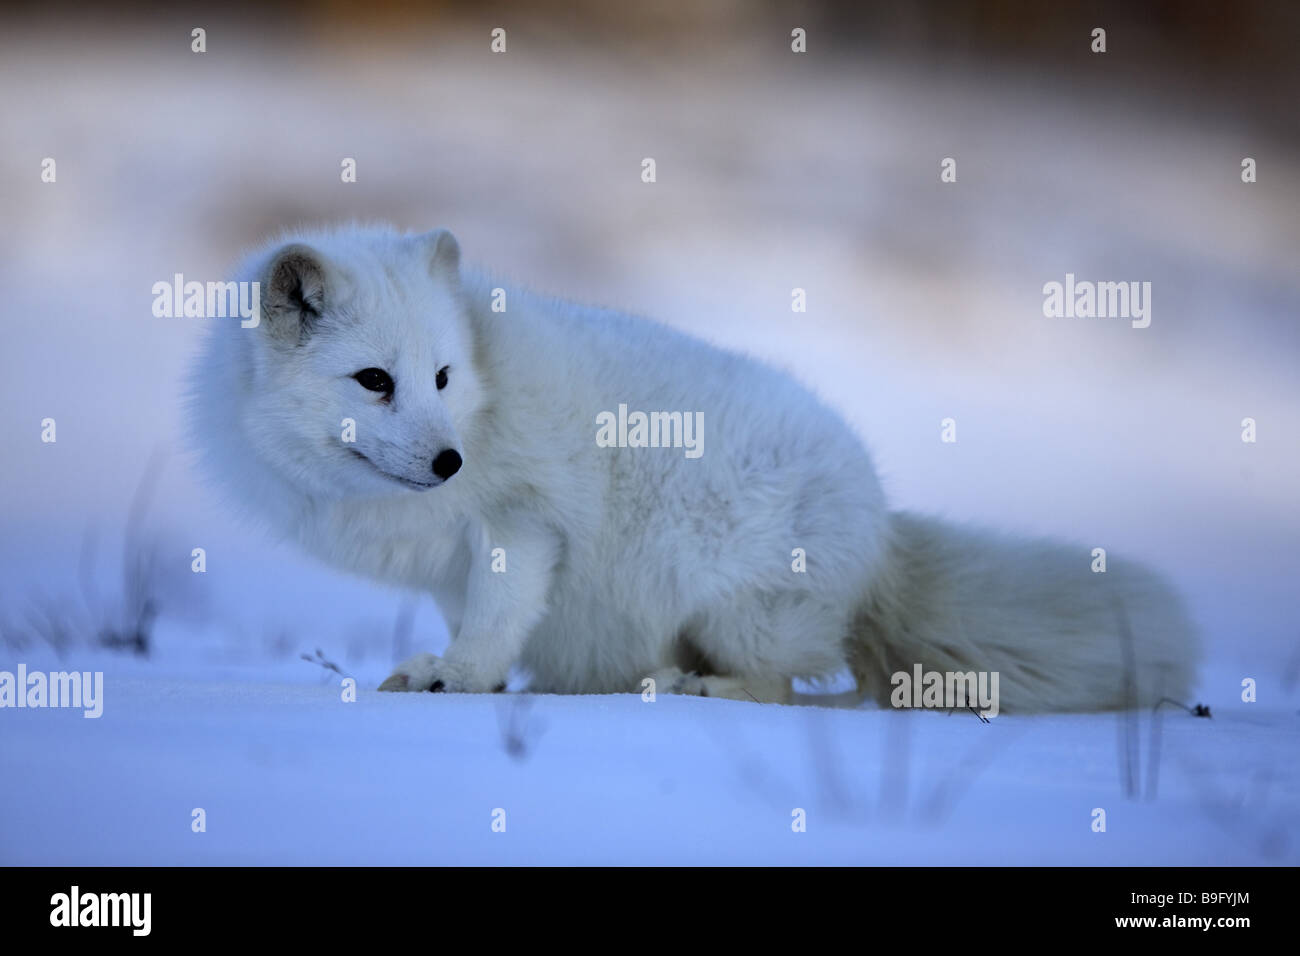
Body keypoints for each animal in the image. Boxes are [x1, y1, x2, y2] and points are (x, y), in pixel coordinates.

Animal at [188, 223, 1198, 711]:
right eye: (374, 381)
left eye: (441, 376)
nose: (448, 459)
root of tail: (884, 528)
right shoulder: (452, 566)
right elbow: (491, 621)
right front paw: (484, 677)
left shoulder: (523, 523)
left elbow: (494, 620)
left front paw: (458, 682)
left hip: (728, 596)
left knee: (791, 689)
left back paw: (689, 690)